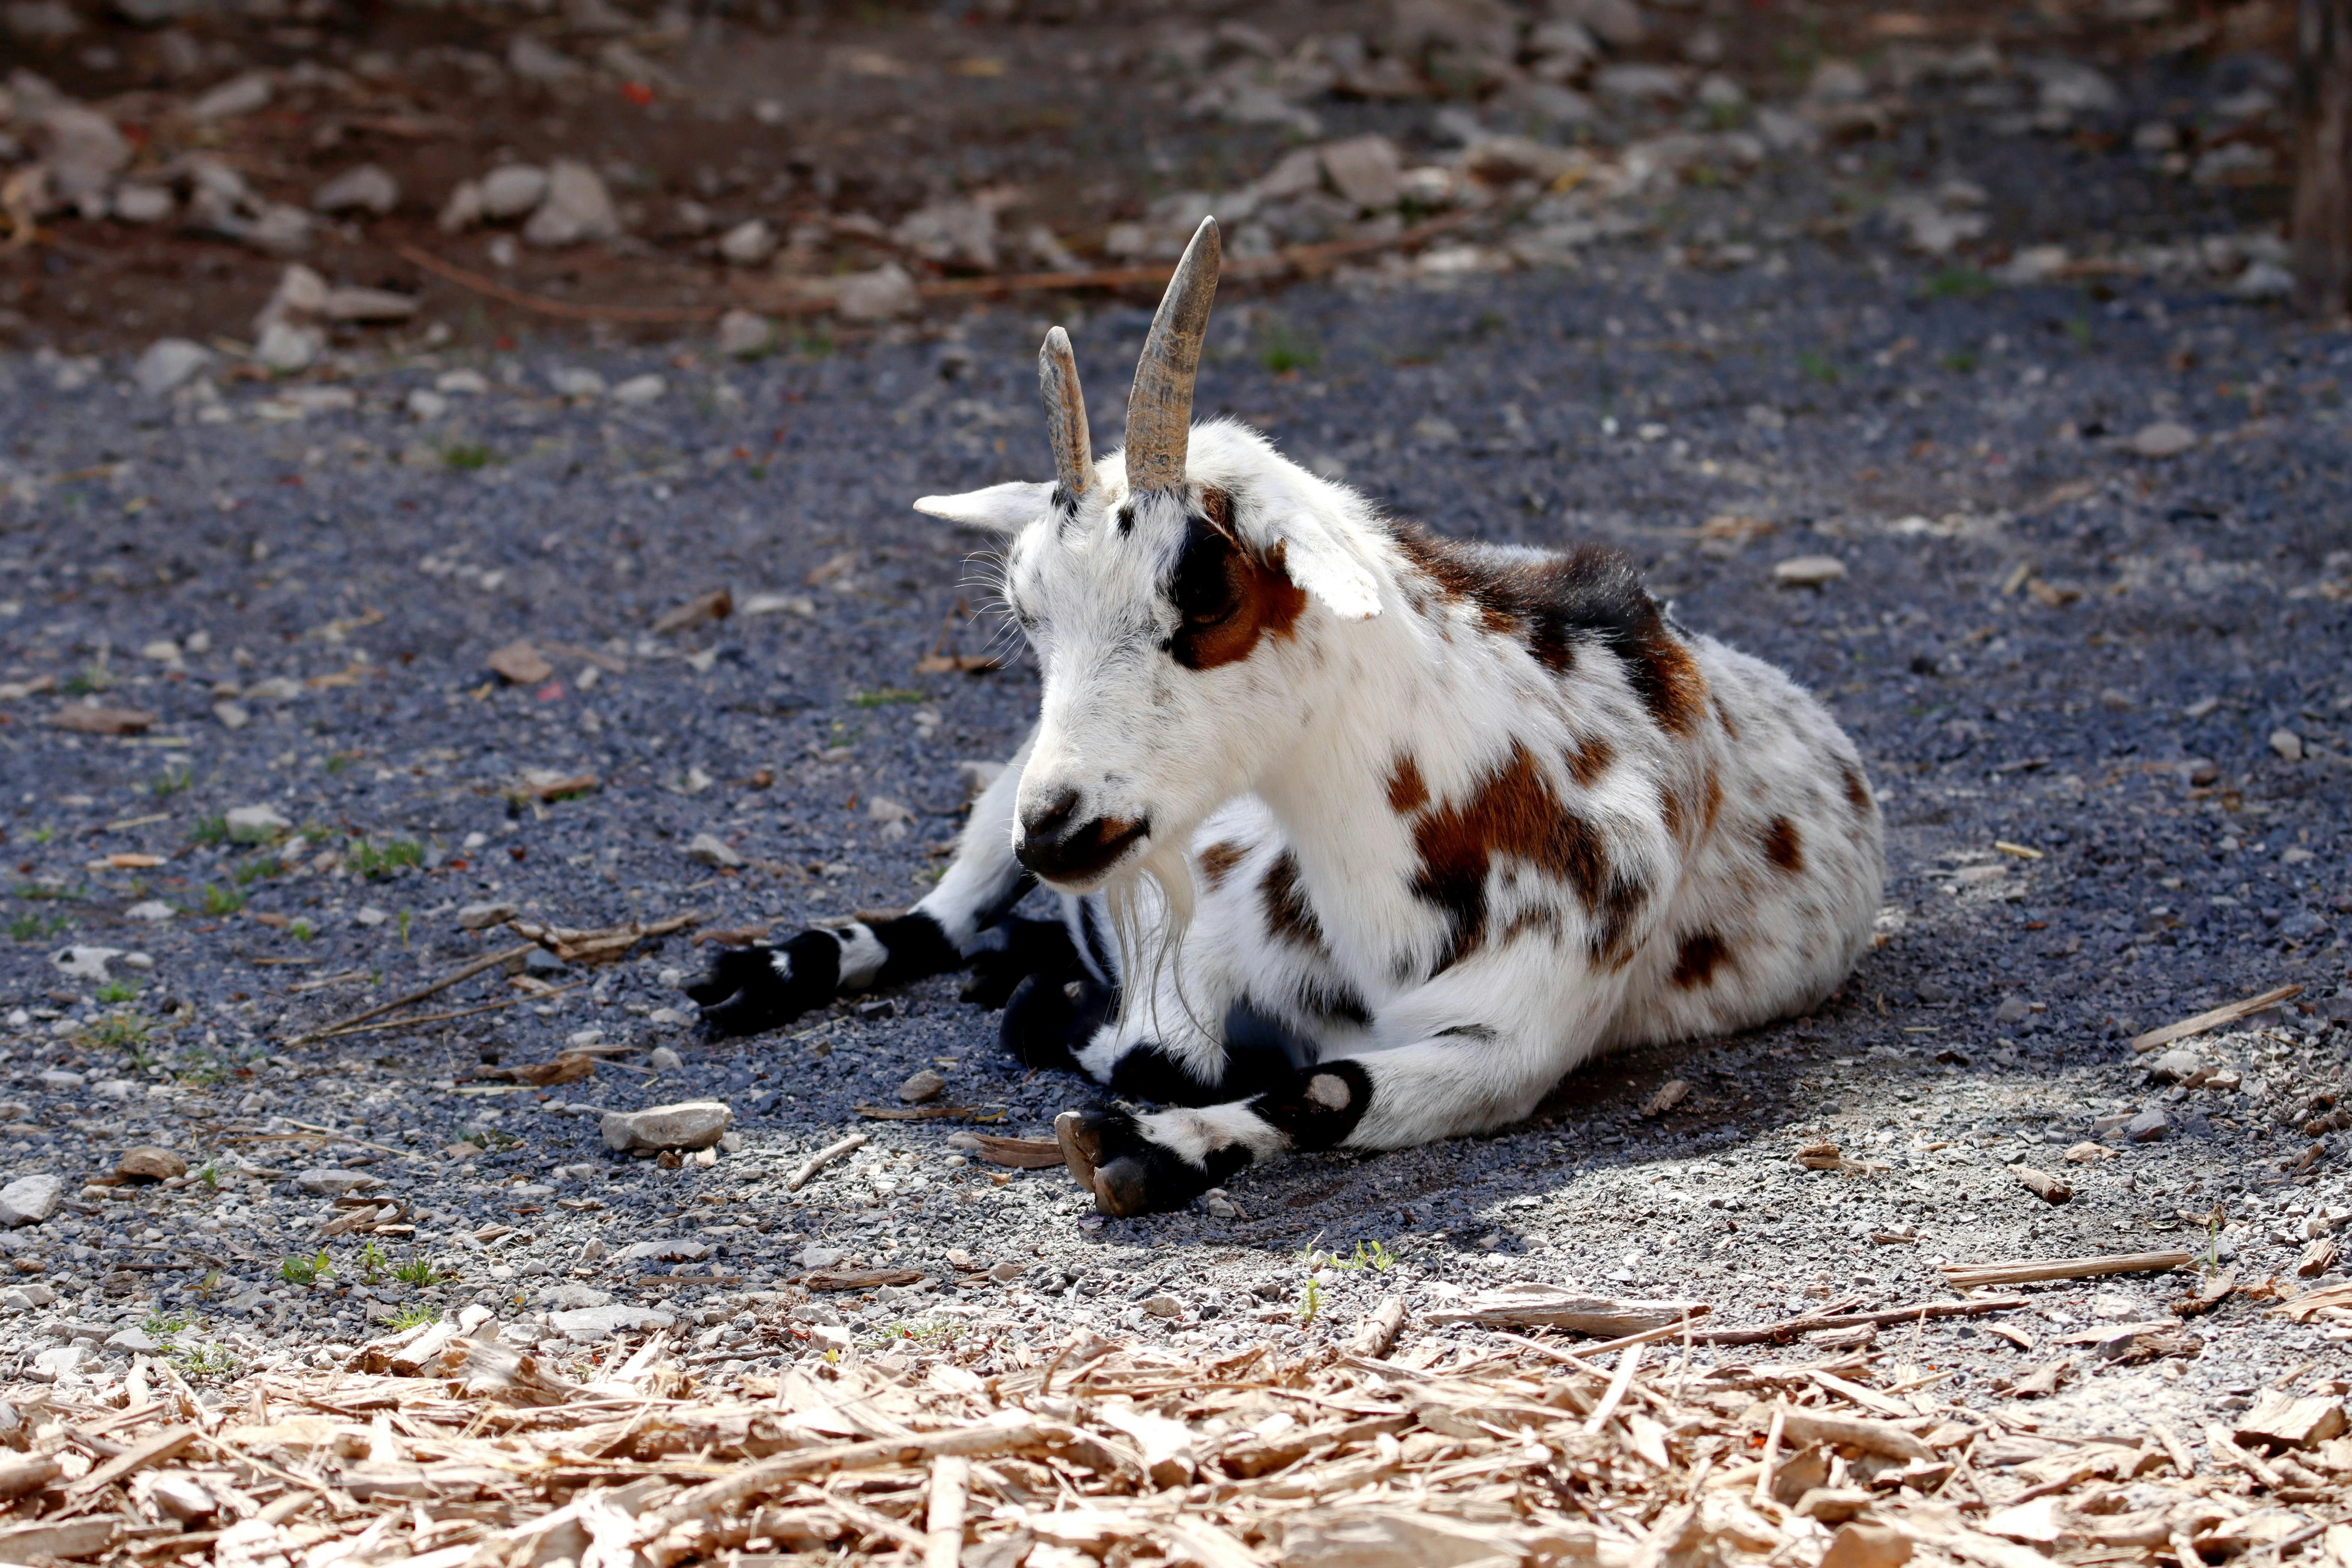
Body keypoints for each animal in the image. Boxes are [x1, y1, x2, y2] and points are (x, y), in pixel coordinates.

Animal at [689, 217, 1885, 1216]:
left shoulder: (1519, 1040)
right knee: (942, 910)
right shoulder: (1190, 942)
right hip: (1010, 788)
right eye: (1026, 609)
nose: (1060, 830)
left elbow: (1319, 1085)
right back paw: (766, 973)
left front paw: (1145, 1143)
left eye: (1205, 592)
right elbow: (1161, 1047)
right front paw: (1068, 1017)